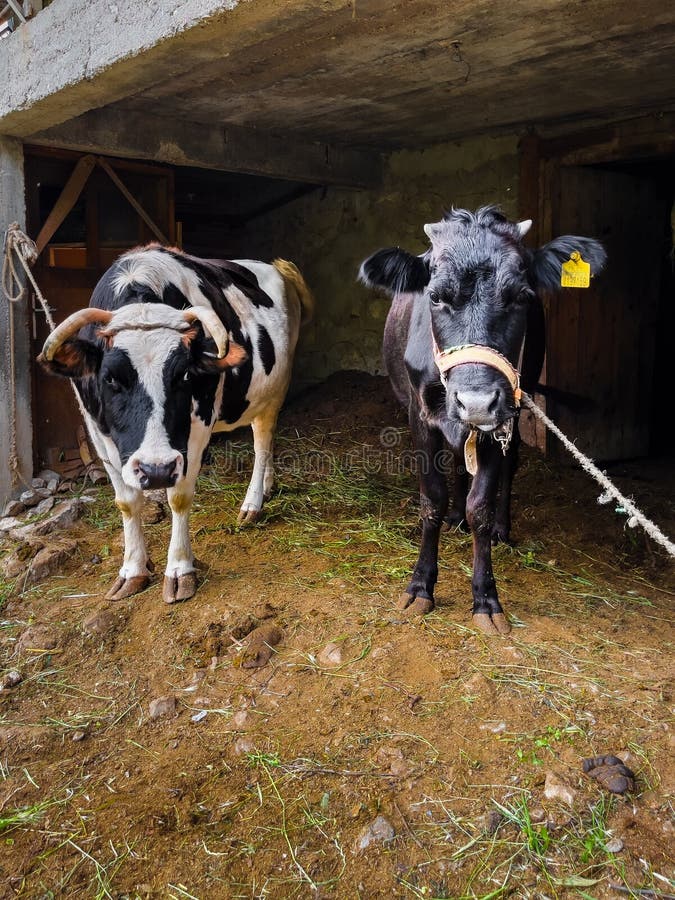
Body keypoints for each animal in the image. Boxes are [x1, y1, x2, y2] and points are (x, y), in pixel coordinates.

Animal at [39, 245, 313, 604]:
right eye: (110, 378)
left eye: (183, 375)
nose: (155, 471)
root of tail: (276, 268)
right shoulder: (99, 434)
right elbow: (126, 503)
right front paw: (132, 570)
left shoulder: (196, 430)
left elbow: (179, 499)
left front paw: (180, 570)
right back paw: (266, 486)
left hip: (275, 389)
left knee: (262, 442)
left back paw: (253, 504)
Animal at [359, 206, 606, 634]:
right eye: (435, 297)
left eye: (520, 296)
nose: (475, 400)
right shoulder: (419, 416)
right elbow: (432, 499)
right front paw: (420, 587)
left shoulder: (500, 415)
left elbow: (482, 507)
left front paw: (485, 599)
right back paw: (455, 517)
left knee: (508, 462)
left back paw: (502, 528)